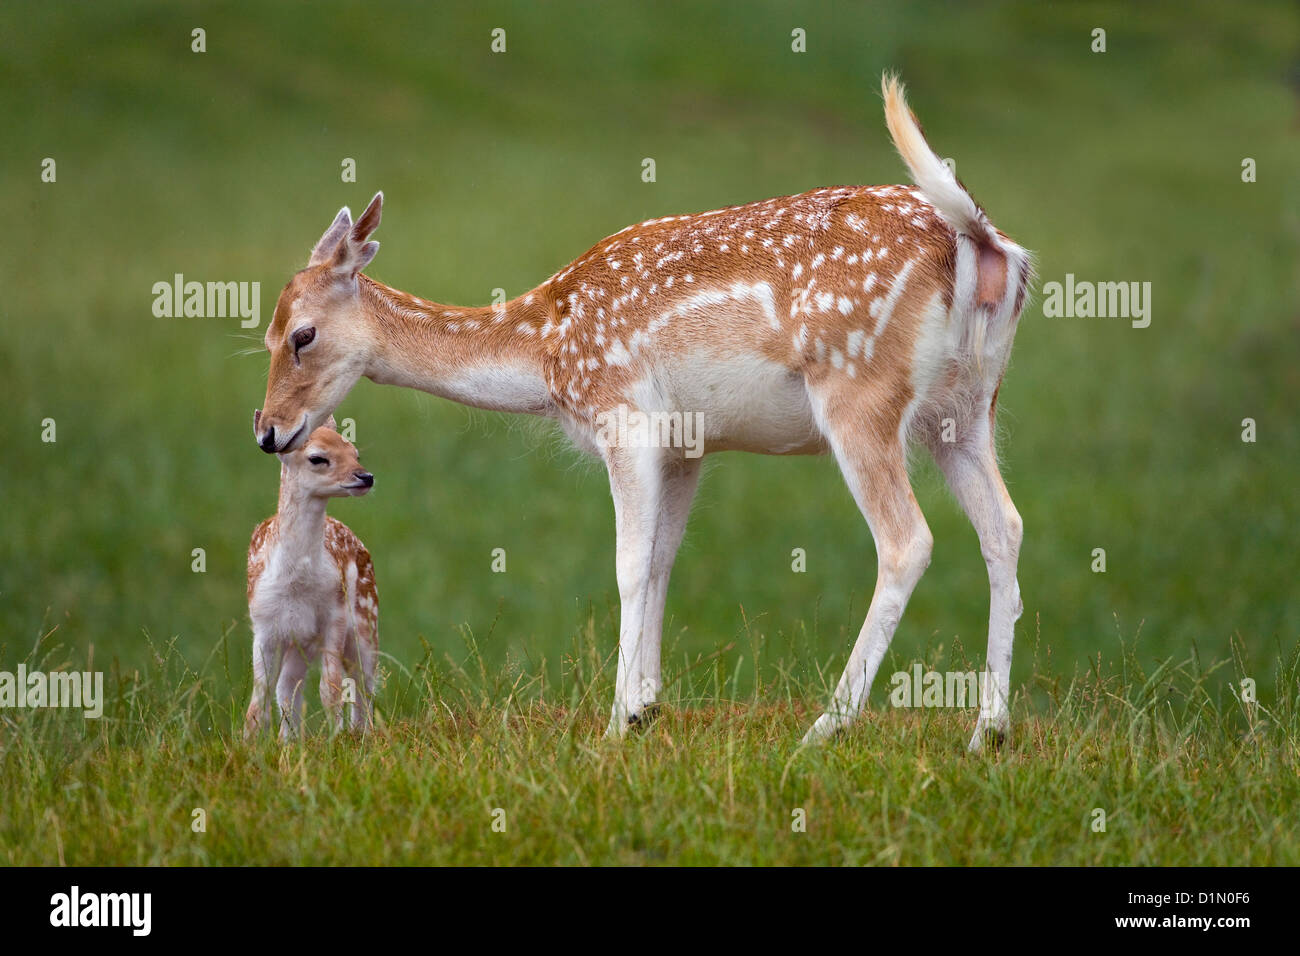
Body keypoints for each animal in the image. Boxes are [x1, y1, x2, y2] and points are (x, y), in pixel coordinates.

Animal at [245, 414, 379, 740]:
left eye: (355, 453)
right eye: (318, 457)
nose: (365, 476)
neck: (296, 581)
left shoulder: (335, 614)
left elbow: (330, 688)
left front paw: (336, 739)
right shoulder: (263, 623)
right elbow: (258, 698)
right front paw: (248, 744)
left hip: (367, 619)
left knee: (365, 682)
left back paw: (363, 734)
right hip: (299, 640)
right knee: (287, 686)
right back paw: (288, 743)